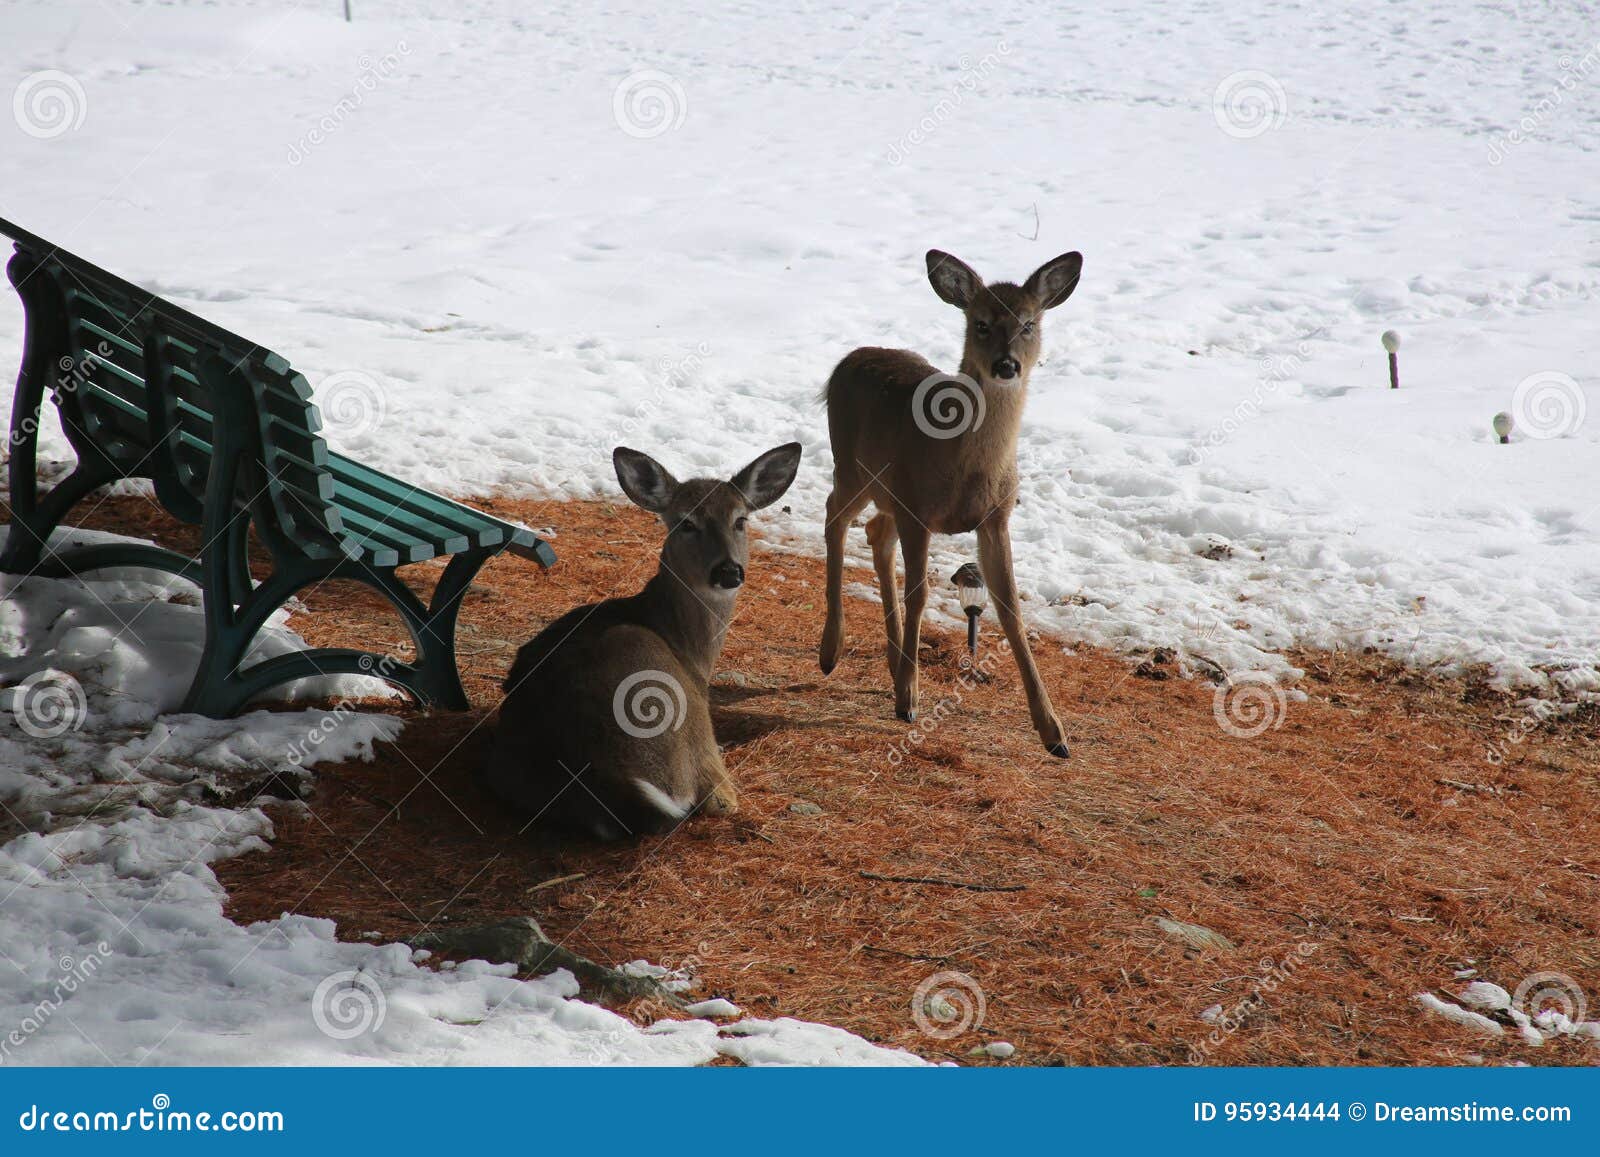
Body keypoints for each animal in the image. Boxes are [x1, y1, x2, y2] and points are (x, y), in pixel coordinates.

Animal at [818, 249, 1083, 759]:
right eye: (981, 323)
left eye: (1028, 323)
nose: (1006, 365)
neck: (965, 462)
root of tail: (848, 360)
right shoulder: (918, 508)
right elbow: (919, 594)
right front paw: (908, 702)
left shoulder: (995, 517)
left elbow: (1011, 609)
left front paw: (1054, 733)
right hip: (854, 468)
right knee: (833, 516)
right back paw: (832, 650)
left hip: (887, 493)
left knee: (875, 534)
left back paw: (895, 660)